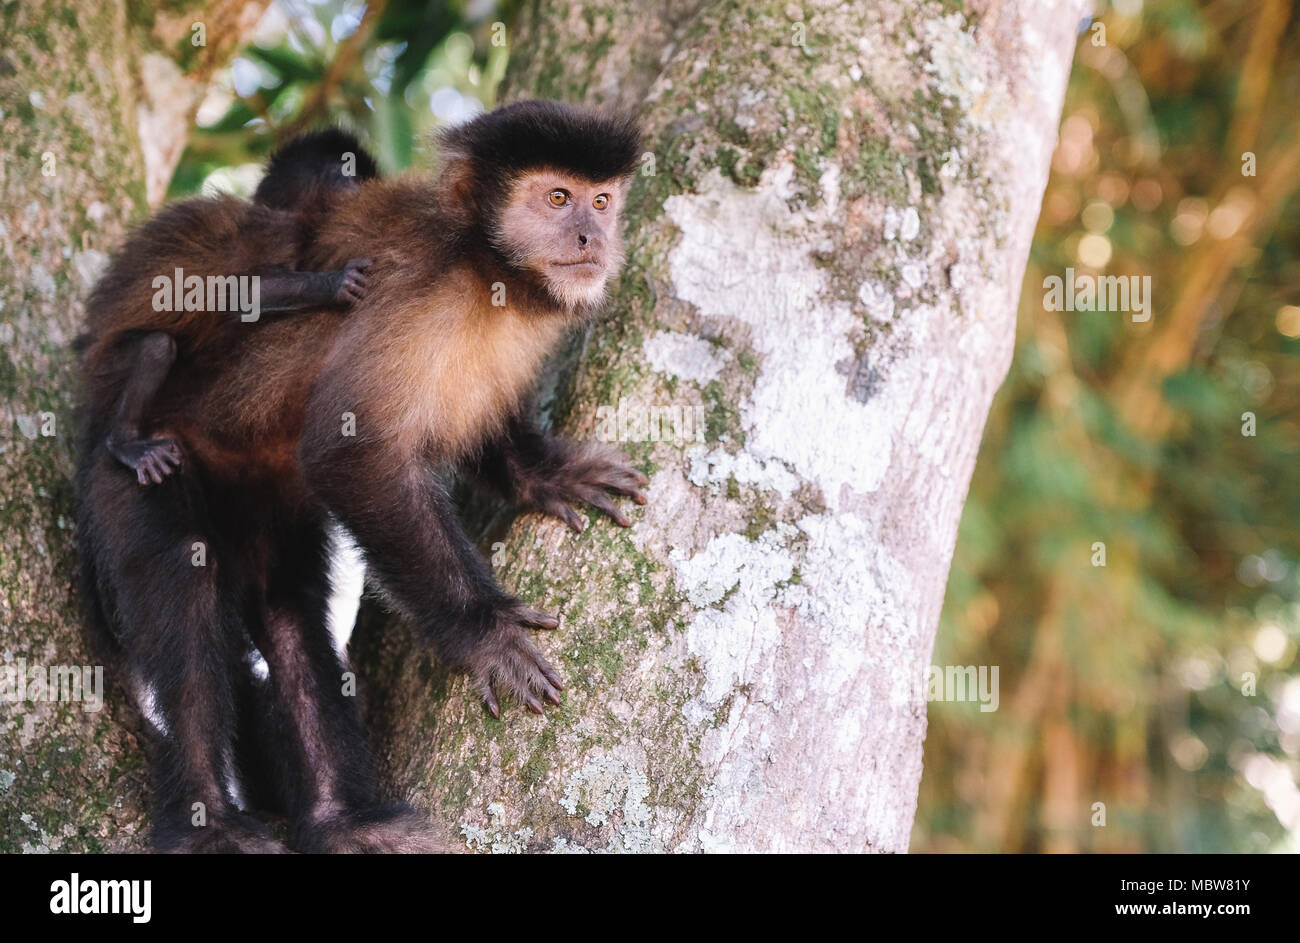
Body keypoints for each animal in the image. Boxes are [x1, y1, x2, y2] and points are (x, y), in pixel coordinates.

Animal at [75, 101, 647, 853]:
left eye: (601, 200)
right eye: (557, 197)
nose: (590, 235)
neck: (484, 265)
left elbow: (483, 416)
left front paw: (547, 472)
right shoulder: (418, 296)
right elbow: (348, 453)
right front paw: (485, 631)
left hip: (265, 505)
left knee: (290, 616)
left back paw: (341, 822)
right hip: (137, 470)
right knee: (184, 592)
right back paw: (207, 823)